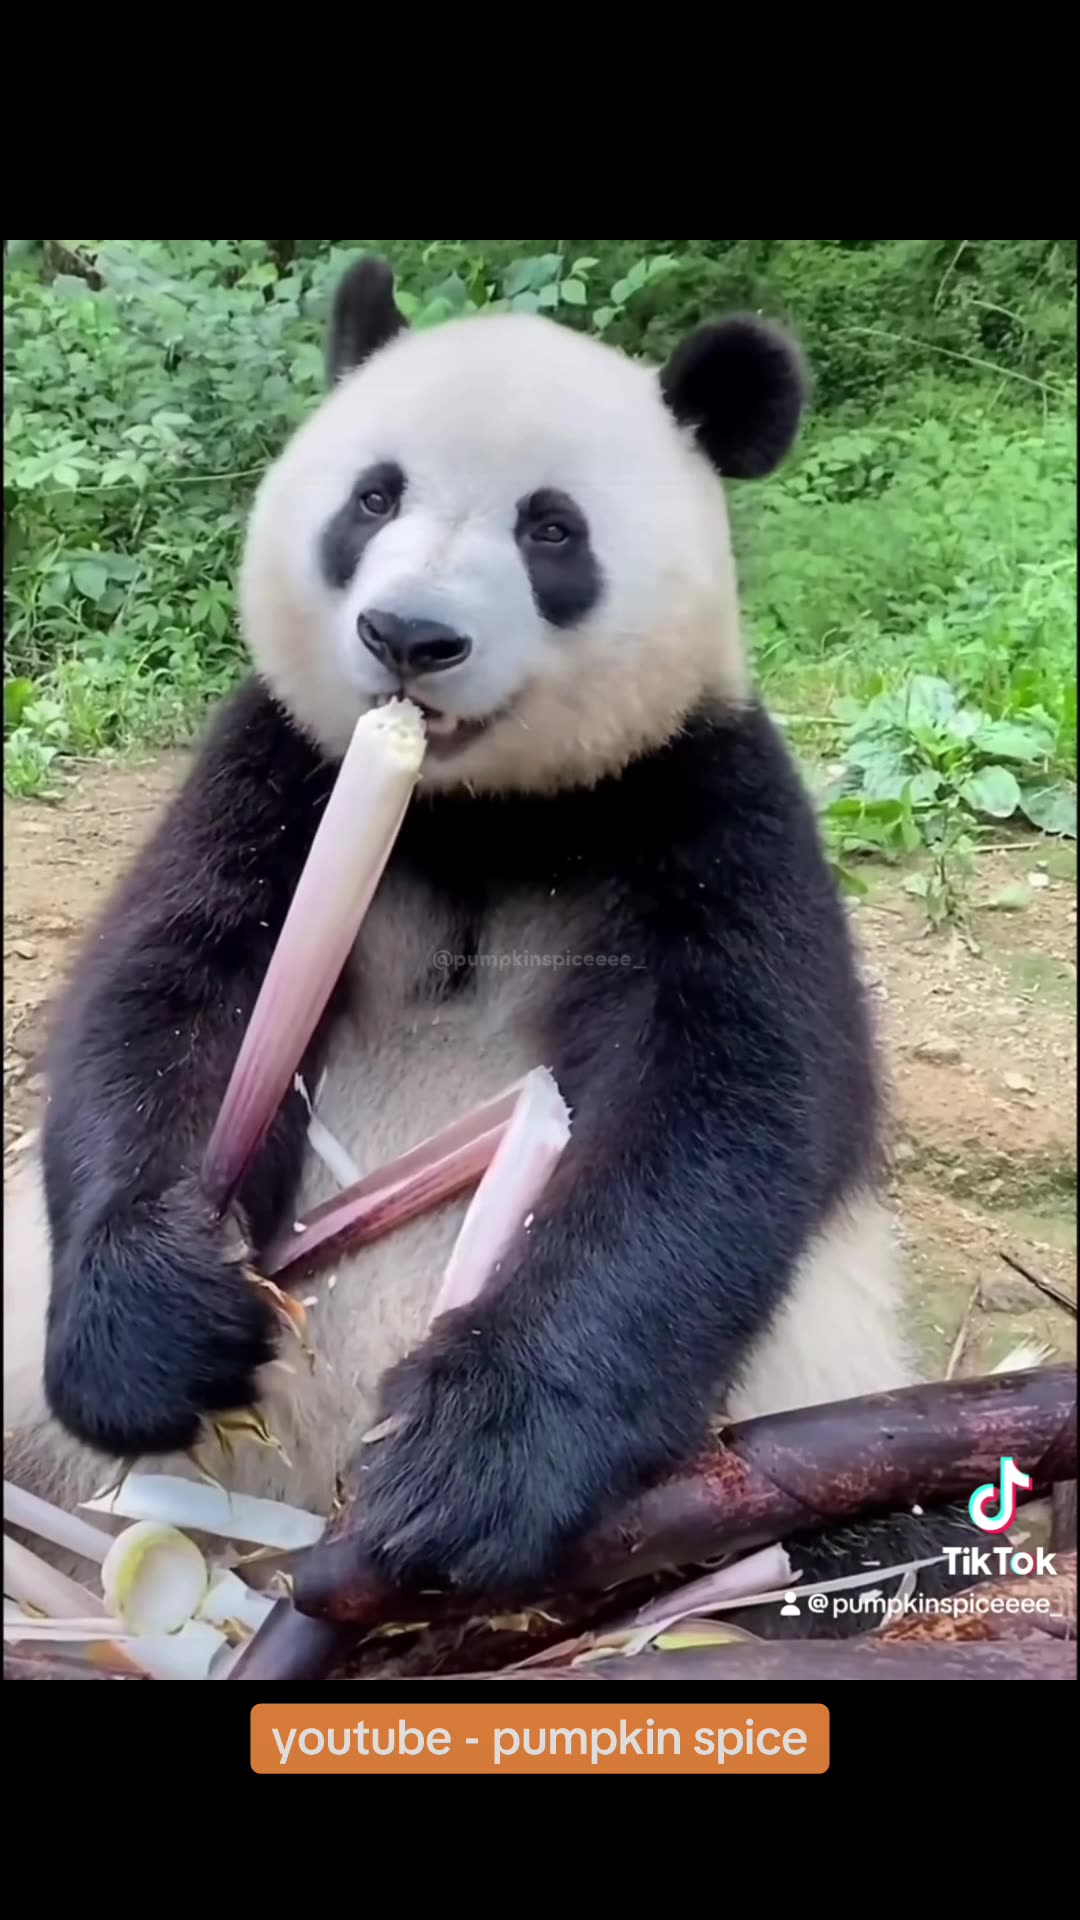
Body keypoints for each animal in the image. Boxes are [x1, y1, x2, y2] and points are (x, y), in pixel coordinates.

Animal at [3, 255, 984, 1638]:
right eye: (373, 496)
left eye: (551, 531)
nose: (410, 637)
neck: (476, 808)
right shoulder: (282, 772)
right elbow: (166, 994)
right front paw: (161, 1324)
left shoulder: (702, 802)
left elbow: (719, 1108)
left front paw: (466, 1460)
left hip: (817, 1408)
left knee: (884, 1528)